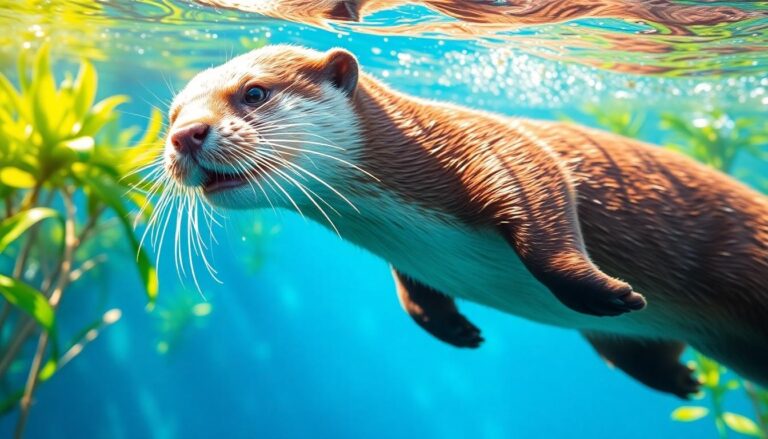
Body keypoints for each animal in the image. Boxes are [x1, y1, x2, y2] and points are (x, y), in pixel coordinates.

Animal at [161, 45, 768, 398]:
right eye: (171, 115)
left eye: (253, 92)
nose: (185, 136)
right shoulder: (410, 251)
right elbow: (412, 291)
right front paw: (451, 327)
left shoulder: (496, 148)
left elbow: (545, 202)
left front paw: (607, 291)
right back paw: (678, 379)